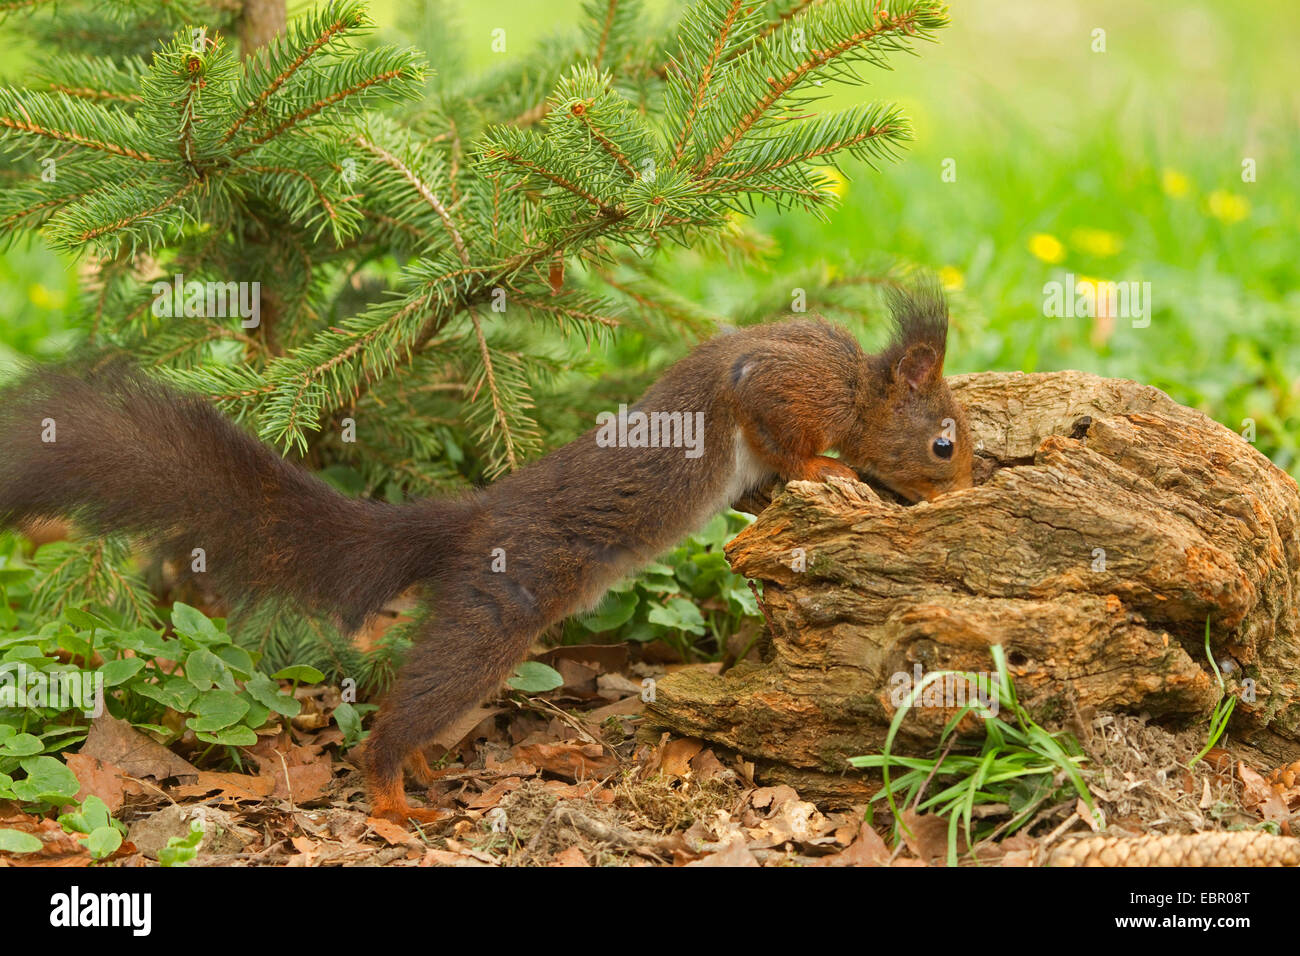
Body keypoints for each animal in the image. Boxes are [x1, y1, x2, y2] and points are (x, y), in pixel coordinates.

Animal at [0, 279, 972, 825]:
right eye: (944, 445)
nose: (963, 489)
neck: (860, 387)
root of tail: (470, 520)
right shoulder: (786, 383)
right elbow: (777, 422)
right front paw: (827, 469)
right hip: (497, 612)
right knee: (406, 712)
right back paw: (394, 798)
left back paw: (427, 770)